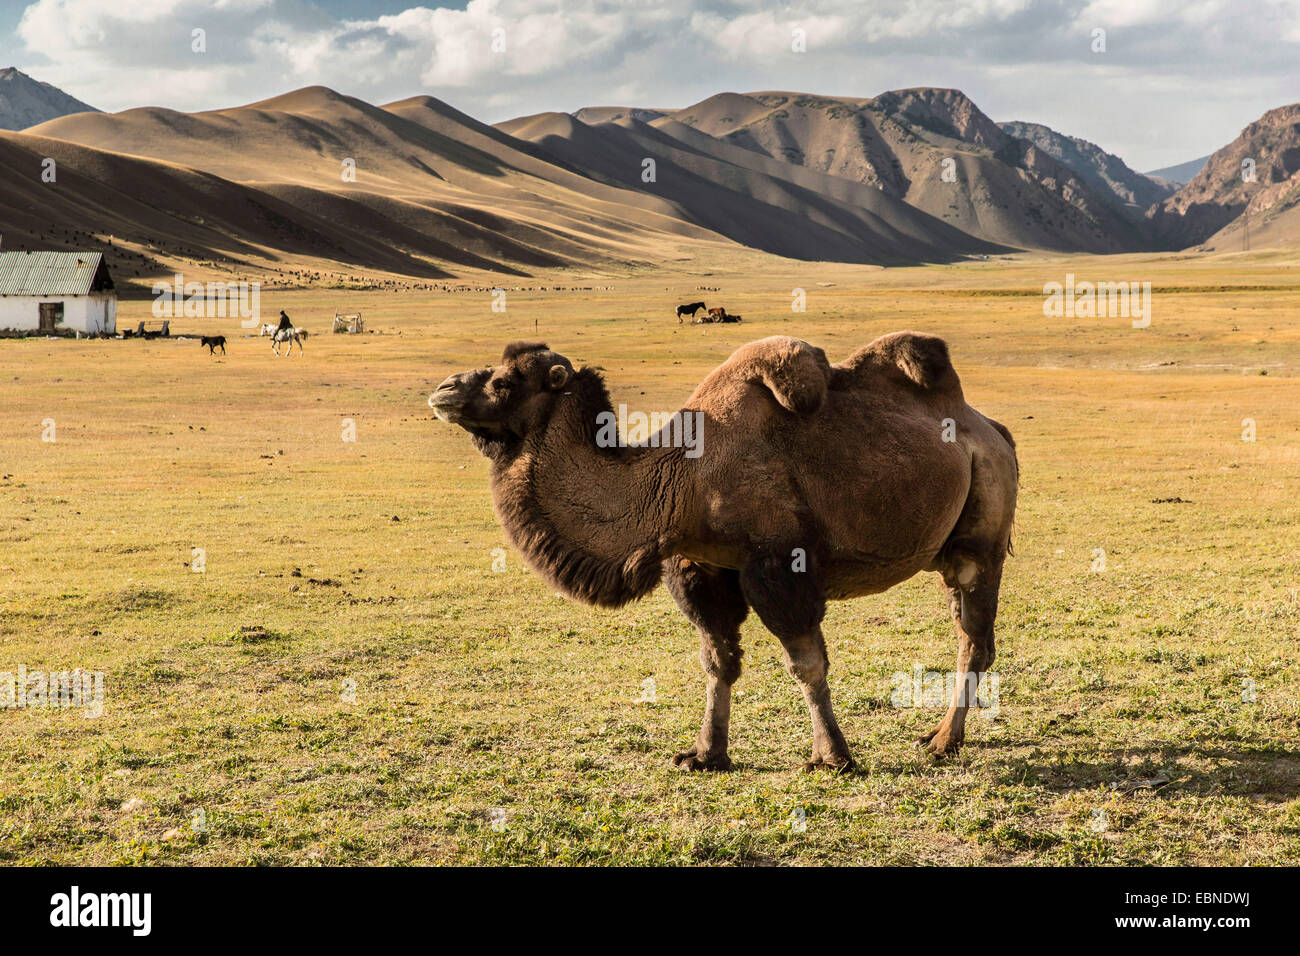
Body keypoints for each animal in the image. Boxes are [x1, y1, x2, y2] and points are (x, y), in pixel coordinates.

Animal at [430, 333, 1018, 772]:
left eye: (504, 381)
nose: (442, 391)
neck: (683, 477)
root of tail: (992, 430)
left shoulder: (779, 564)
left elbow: (806, 664)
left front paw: (833, 757)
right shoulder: (700, 567)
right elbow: (718, 662)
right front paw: (705, 754)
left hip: (982, 531)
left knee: (973, 639)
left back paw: (943, 741)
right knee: (970, 632)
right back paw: (940, 734)